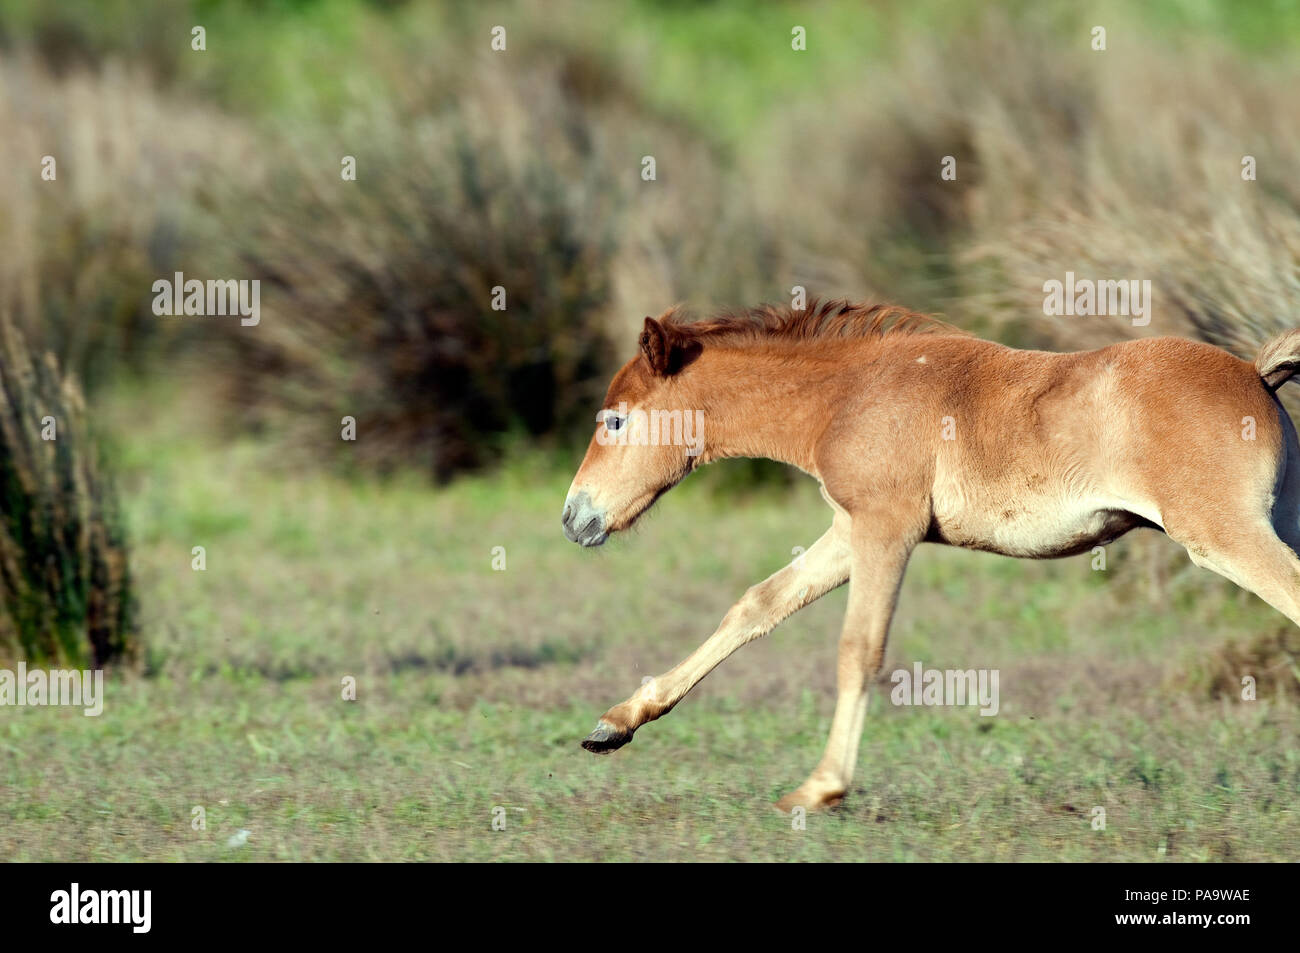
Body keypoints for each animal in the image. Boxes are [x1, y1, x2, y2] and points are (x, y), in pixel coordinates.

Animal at [560, 298, 1300, 811]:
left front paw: (820, 789)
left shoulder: (887, 527)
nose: (574, 517)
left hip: (1226, 538)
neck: (849, 394)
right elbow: (756, 604)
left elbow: (859, 650)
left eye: (616, 419)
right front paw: (616, 724)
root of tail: (1255, 375)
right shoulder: (848, 529)